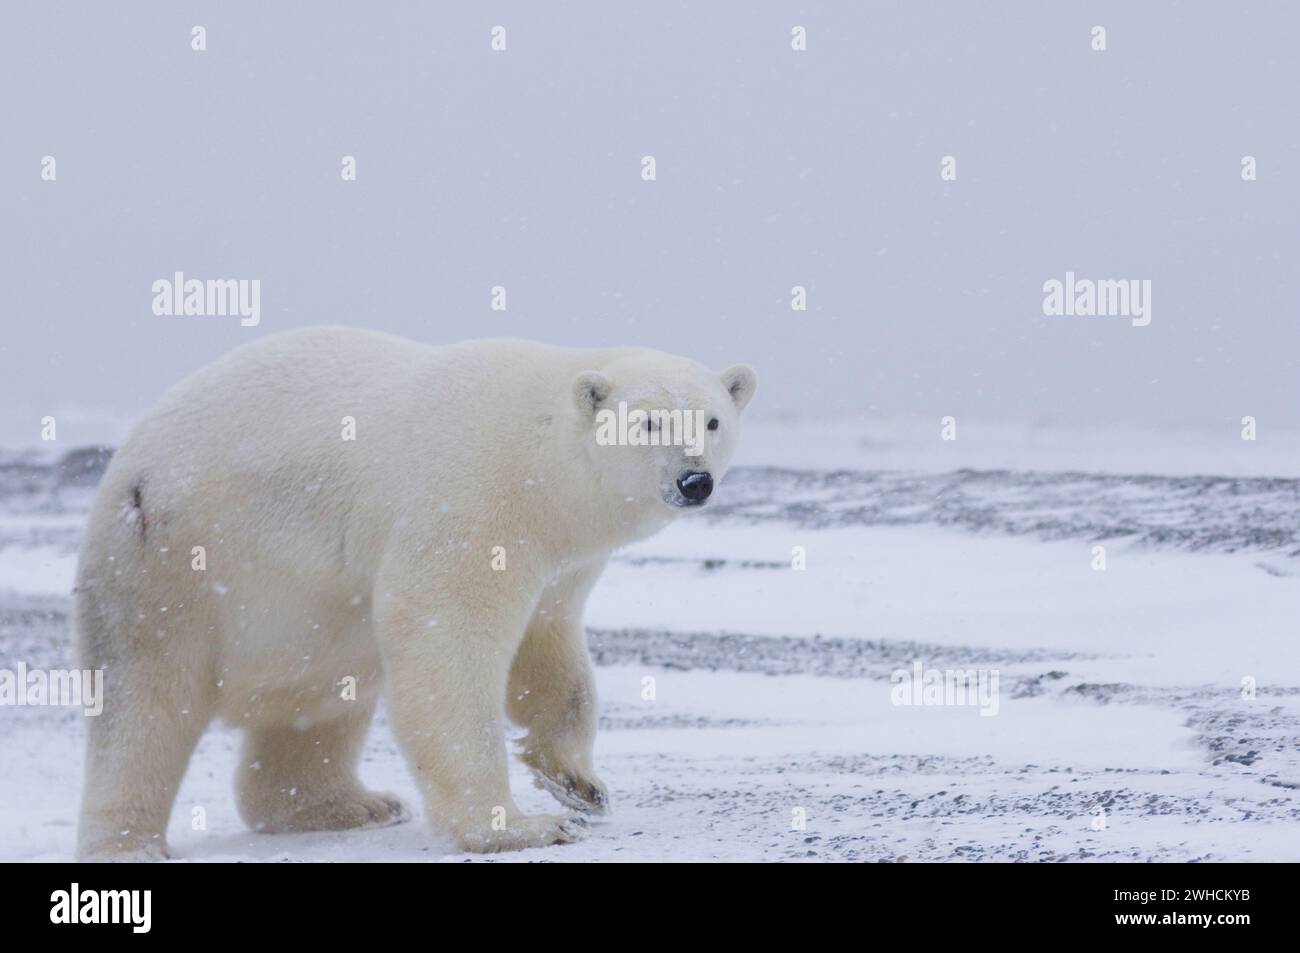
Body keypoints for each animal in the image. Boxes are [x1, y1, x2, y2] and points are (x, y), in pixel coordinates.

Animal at [74, 326, 756, 857]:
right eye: (650, 421)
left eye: (713, 419)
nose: (694, 480)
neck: (543, 463)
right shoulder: (472, 496)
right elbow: (448, 640)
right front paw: (521, 827)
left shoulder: (562, 558)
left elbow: (551, 651)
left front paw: (577, 784)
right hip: (168, 561)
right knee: (144, 703)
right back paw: (130, 843)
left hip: (308, 611)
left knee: (324, 697)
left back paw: (353, 805)